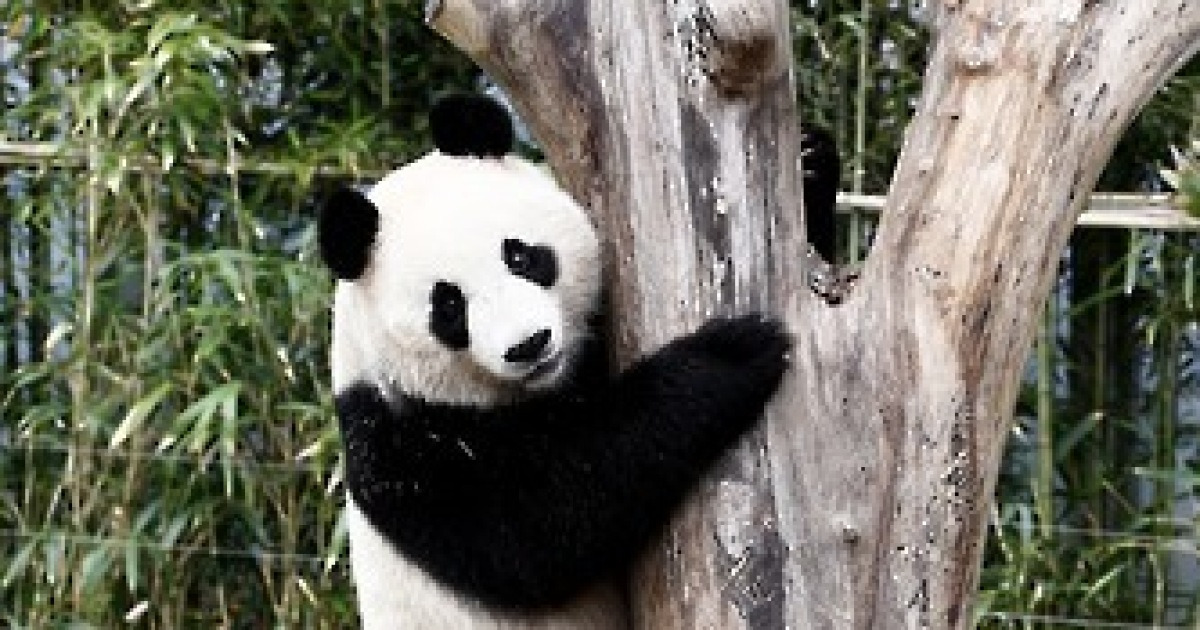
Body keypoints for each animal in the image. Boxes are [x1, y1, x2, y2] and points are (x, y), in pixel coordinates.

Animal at [318, 93, 794, 629]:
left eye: (520, 256)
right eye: (449, 307)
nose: (530, 344)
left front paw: (815, 159)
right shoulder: (405, 453)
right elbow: (547, 522)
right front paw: (731, 354)